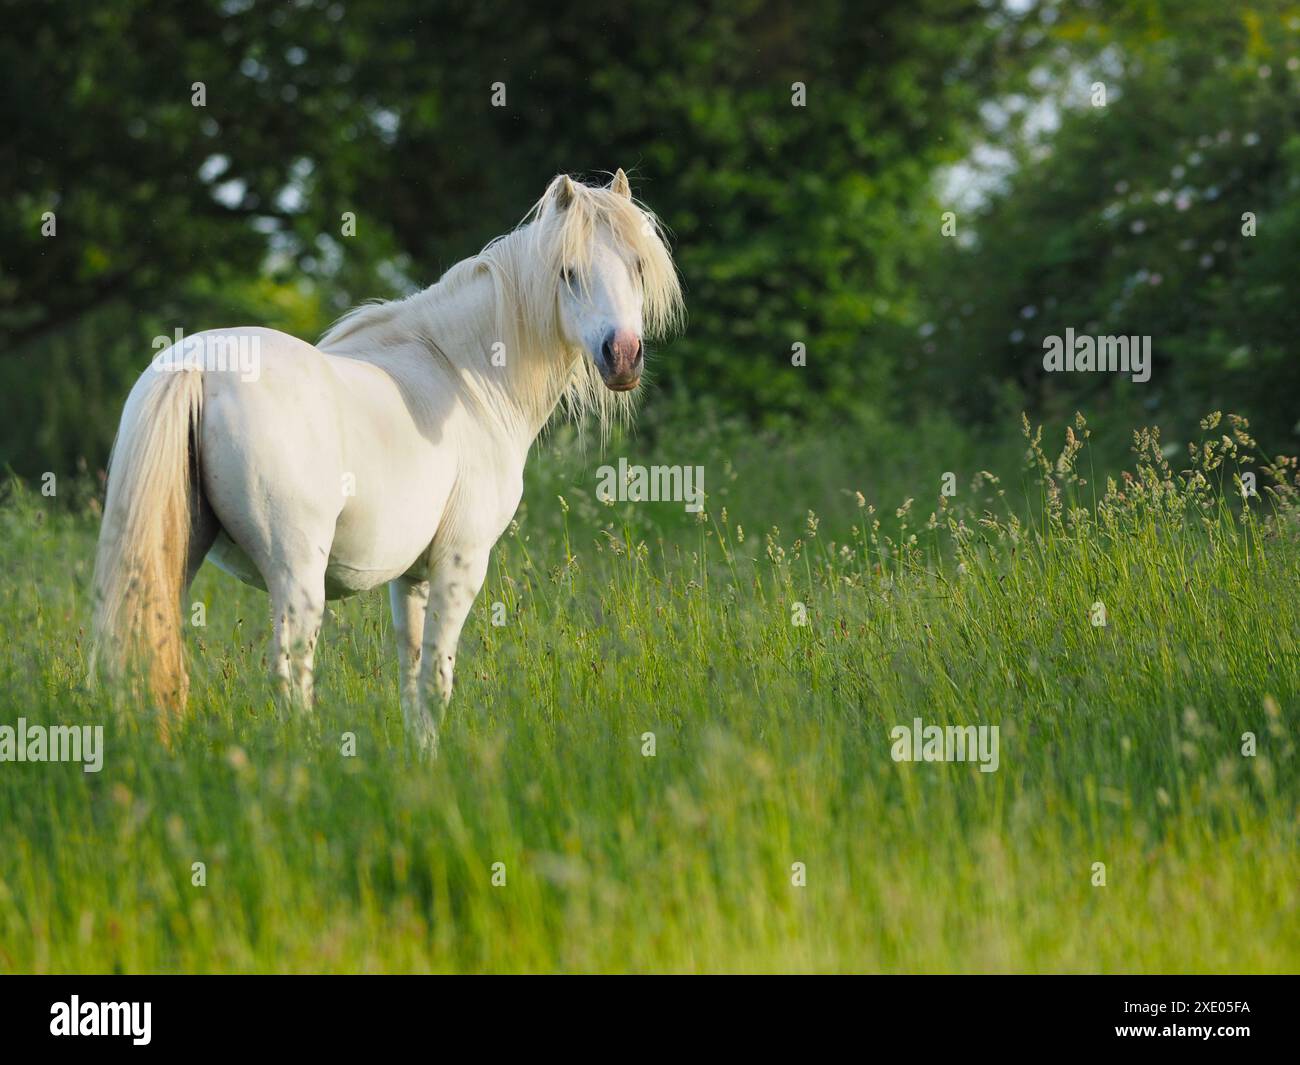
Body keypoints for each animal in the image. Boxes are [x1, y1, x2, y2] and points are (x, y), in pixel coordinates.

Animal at [90, 170, 684, 751]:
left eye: (636, 265)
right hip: (296, 576)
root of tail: (198, 363)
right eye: (567, 272)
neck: (463, 375)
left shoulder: (412, 579)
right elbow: (437, 680)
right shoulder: (460, 564)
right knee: (291, 672)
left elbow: (411, 675)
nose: (622, 356)